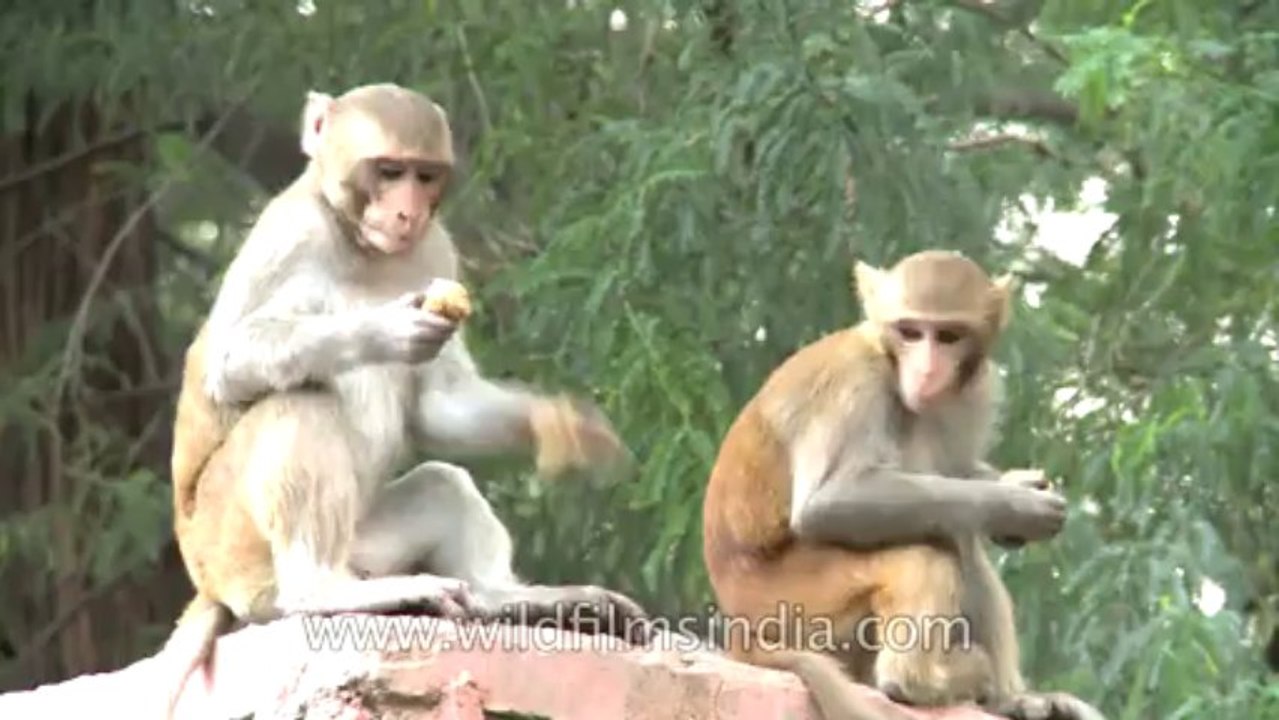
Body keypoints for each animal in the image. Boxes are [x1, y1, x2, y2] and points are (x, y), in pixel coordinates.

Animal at [161, 83, 649, 717]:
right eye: (389, 171)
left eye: (425, 175)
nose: (407, 212)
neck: (357, 244)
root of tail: (207, 583)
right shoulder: (290, 234)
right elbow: (229, 363)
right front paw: (384, 328)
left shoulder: (436, 250)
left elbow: (439, 407)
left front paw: (558, 424)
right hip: (233, 548)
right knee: (300, 402)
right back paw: (318, 590)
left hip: (365, 544)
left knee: (442, 483)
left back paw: (509, 599)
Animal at [701, 250, 1105, 720]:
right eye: (910, 331)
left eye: (948, 336)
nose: (927, 371)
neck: (887, 358)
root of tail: (739, 629)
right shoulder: (853, 383)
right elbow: (829, 502)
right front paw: (1014, 504)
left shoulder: (977, 390)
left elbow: (958, 473)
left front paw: (1017, 492)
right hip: (791, 603)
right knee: (923, 551)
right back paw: (918, 682)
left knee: (953, 532)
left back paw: (1008, 700)